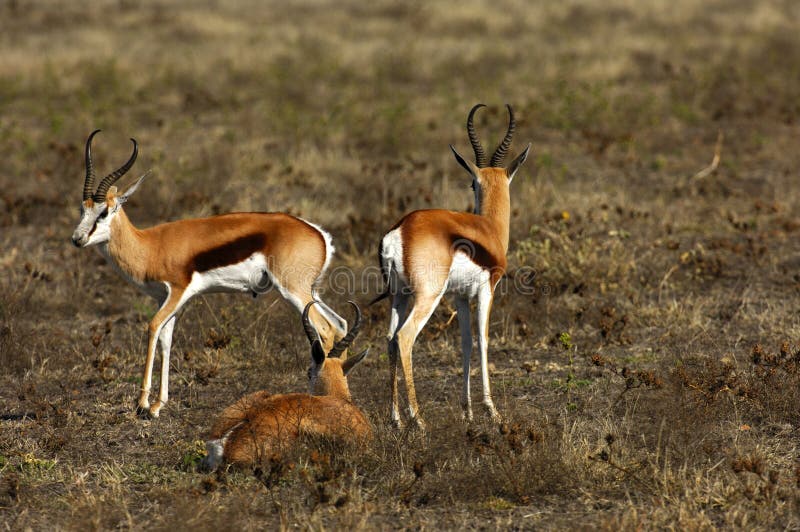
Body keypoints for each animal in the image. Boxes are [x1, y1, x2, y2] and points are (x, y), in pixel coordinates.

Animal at [71, 130, 347, 418]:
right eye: (82, 209)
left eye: (103, 212)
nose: (77, 239)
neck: (149, 246)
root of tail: (319, 234)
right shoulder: (164, 298)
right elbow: (166, 340)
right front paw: (159, 404)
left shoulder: (178, 291)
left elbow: (153, 327)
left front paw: (144, 404)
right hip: (310, 292)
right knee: (340, 324)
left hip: (292, 291)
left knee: (325, 328)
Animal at [373, 104, 530, 429]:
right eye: (471, 183)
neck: (489, 229)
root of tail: (401, 231)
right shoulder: (486, 289)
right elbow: (483, 341)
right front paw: (491, 410)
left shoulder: (460, 296)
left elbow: (466, 343)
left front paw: (467, 411)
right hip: (427, 297)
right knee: (405, 338)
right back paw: (418, 420)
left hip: (399, 295)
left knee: (390, 340)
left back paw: (396, 419)